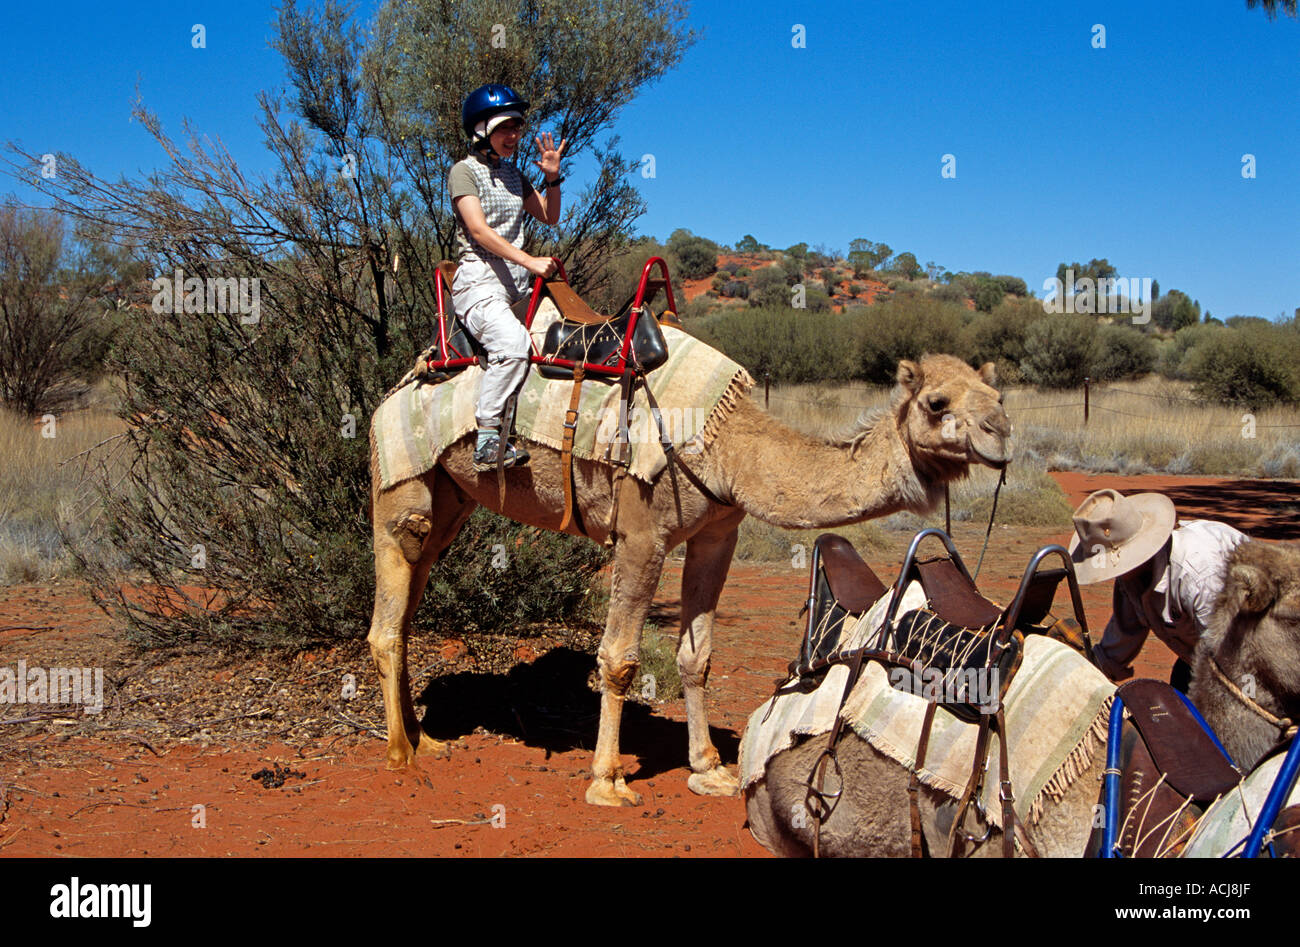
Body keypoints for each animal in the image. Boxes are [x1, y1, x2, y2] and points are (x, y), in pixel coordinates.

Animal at [367, 353, 1012, 807]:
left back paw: (428, 739)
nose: (1000, 432)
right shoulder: (642, 532)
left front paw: (709, 769)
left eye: (998, 395)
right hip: (400, 481)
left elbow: (696, 654)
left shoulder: (717, 532)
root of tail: (389, 393)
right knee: (388, 608)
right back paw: (401, 754)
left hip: (452, 499)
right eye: (936, 401)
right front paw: (607, 782)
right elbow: (619, 657)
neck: (730, 448)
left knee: (411, 596)